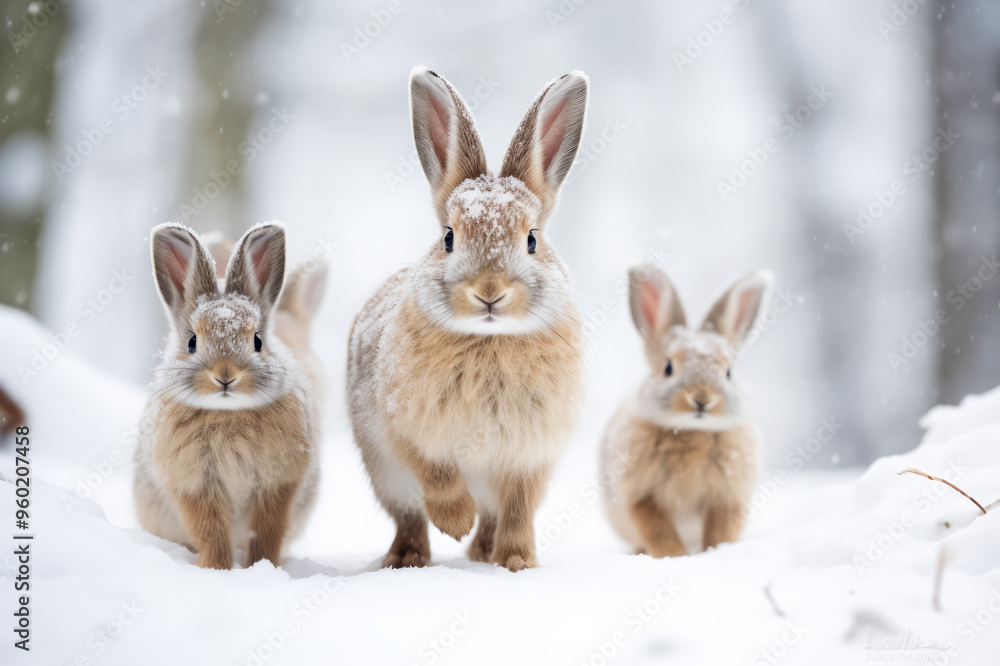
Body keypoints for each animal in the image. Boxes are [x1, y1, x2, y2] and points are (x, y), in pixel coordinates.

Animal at [134, 222, 320, 570]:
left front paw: (263, 568)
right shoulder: (195, 486)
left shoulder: (277, 484)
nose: (225, 375)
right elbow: (210, 531)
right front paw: (217, 569)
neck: (228, 414)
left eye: (257, 341)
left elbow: (266, 531)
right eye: (192, 342)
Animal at [347, 67, 589, 571]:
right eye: (449, 238)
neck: (488, 341)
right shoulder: (405, 432)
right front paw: (456, 521)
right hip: (386, 478)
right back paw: (407, 560)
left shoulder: (528, 458)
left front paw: (517, 563)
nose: (489, 291)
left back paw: (483, 554)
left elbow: (517, 510)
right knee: (409, 519)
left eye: (532, 240)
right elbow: (437, 476)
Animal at [601, 265, 773, 557]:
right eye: (668, 368)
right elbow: (659, 532)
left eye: (728, 373)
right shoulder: (642, 497)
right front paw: (676, 557)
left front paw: (715, 552)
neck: (693, 430)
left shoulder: (726, 496)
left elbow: (721, 530)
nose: (701, 400)